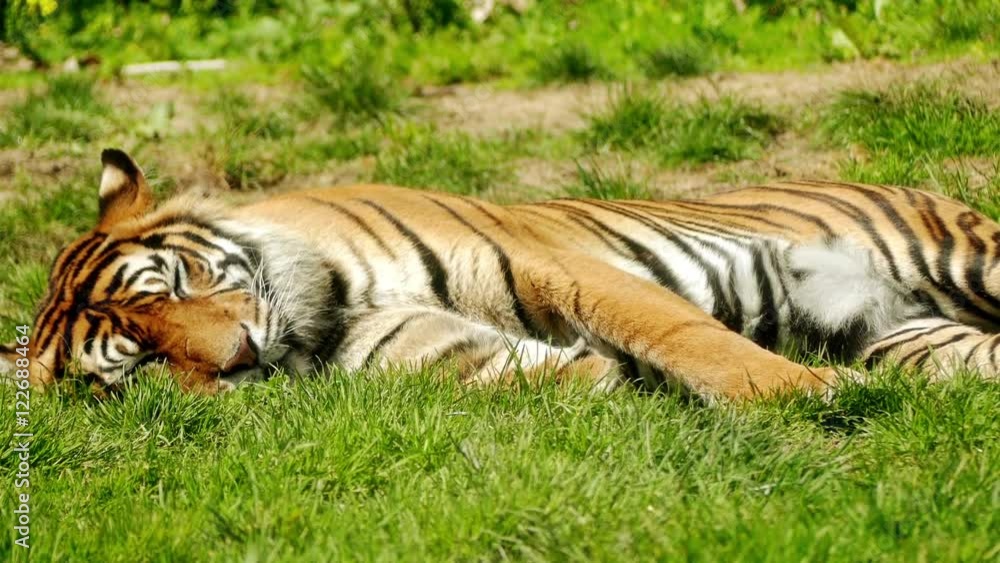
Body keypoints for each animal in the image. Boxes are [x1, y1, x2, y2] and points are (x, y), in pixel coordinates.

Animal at [2, 148, 999, 400]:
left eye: (172, 287)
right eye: (139, 367)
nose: (241, 355)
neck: (324, 314)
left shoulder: (552, 264)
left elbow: (679, 330)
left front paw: (798, 395)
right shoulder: (429, 351)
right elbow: (536, 374)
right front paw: (606, 379)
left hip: (971, 258)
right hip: (918, 342)